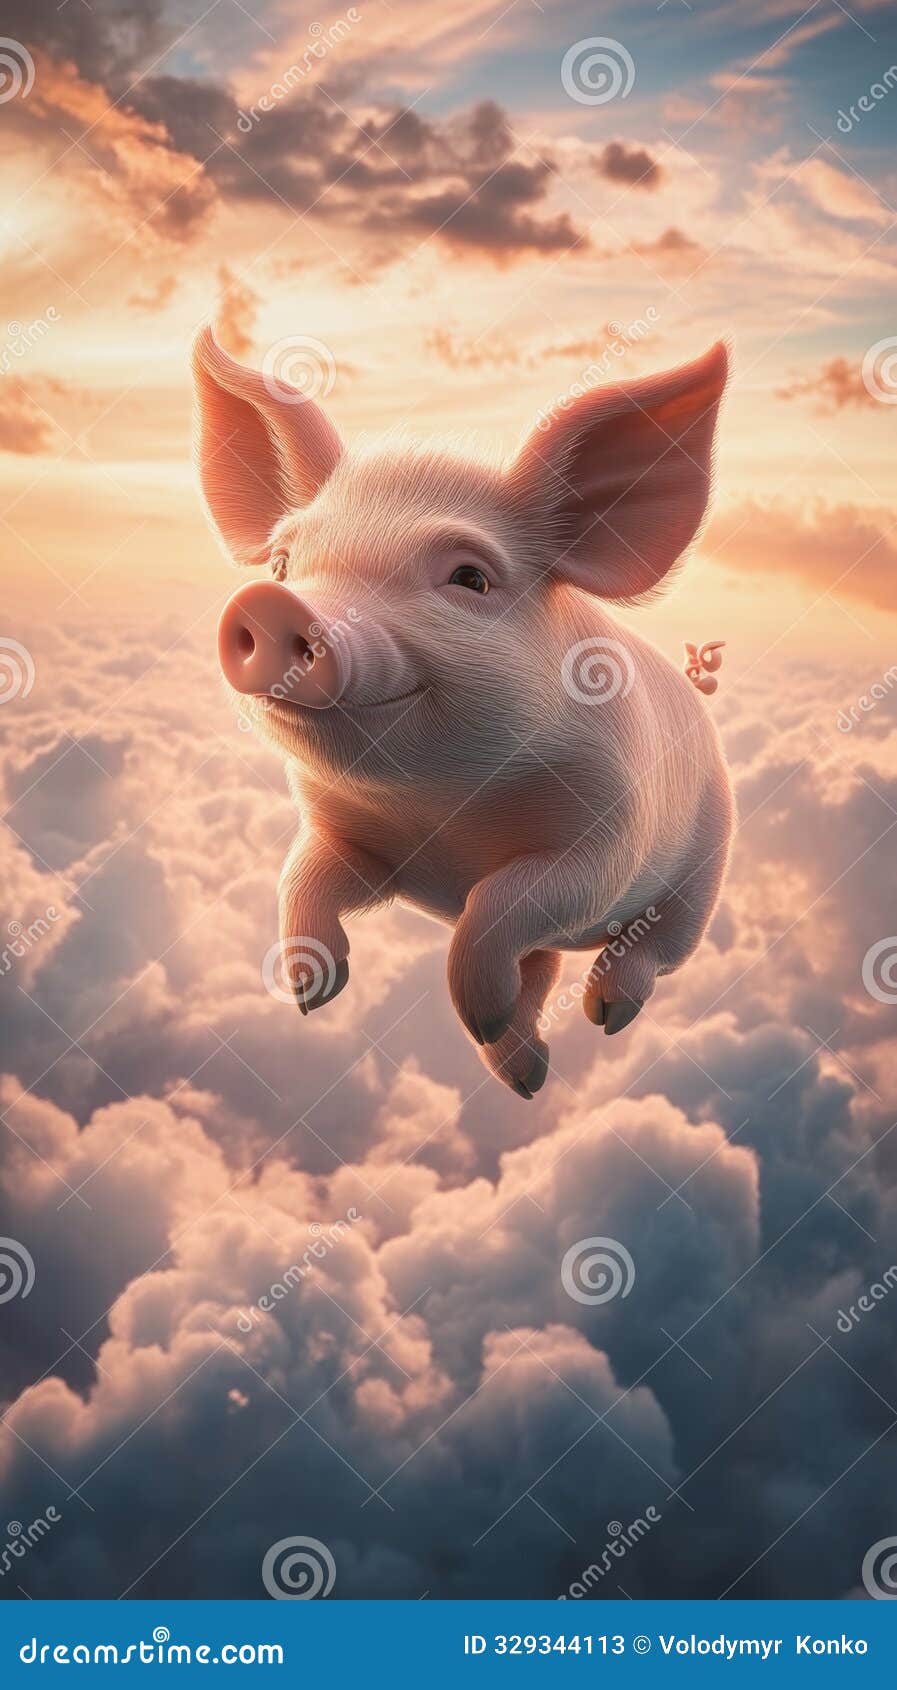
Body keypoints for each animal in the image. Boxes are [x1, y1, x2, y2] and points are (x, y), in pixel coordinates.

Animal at [193, 325, 733, 1099]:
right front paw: (310, 993)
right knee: (540, 967)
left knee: (654, 946)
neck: (444, 816)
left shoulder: (610, 836)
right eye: (282, 565)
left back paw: (603, 1017)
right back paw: (526, 1077)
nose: (270, 605)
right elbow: (304, 873)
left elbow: (506, 900)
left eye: (469, 578)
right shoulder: (353, 839)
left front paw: (478, 1015)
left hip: (706, 860)